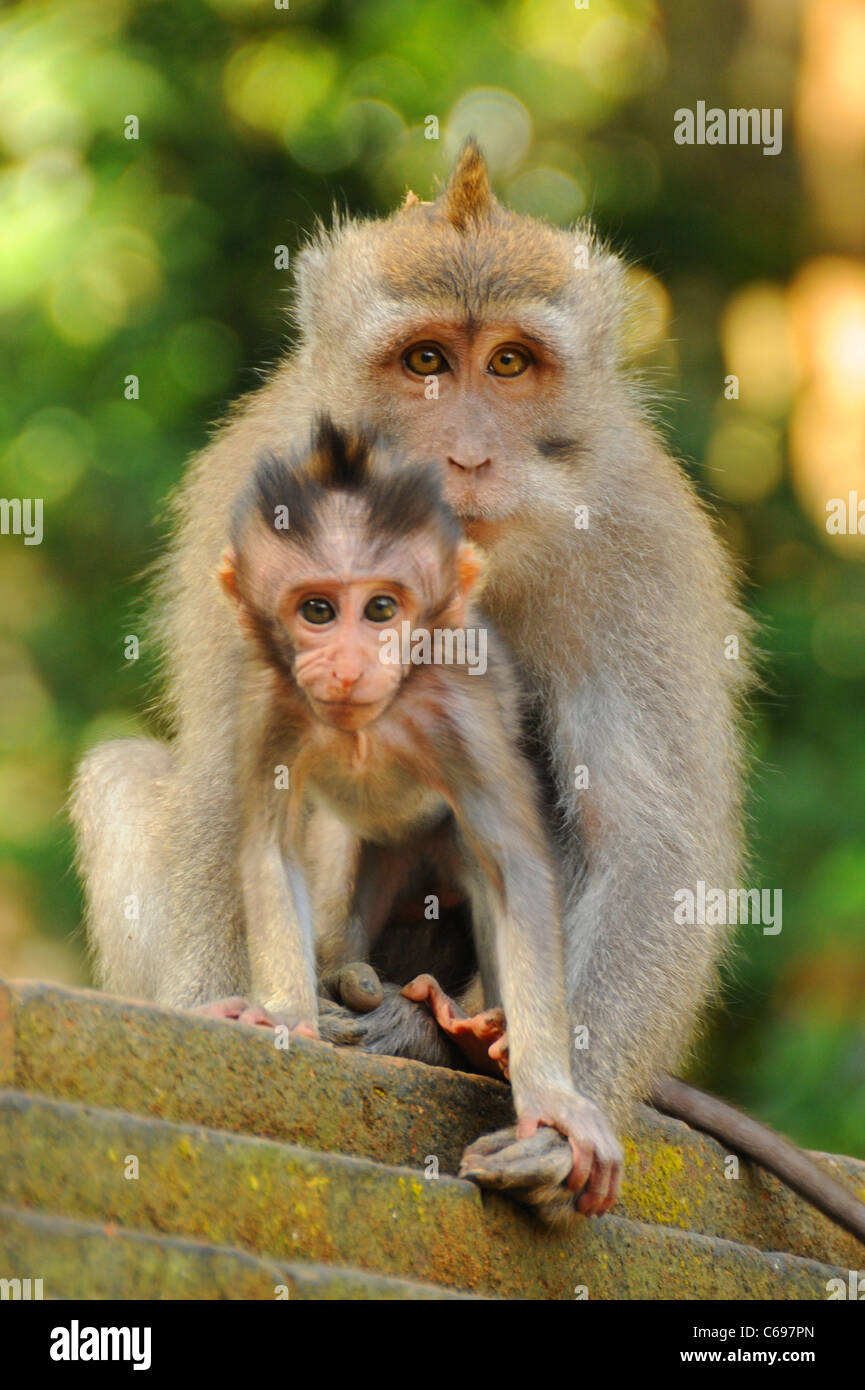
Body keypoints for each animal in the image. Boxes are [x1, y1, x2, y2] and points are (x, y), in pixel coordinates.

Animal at [207, 417, 620, 1210]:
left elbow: (517, 871)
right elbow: (271, 846)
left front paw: (554, 1102)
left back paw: (473, 1040)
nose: (346, 667)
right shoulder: (270, 702)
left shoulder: (457, 710)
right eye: (317, 610)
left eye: (381, 610)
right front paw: (284, 1014)